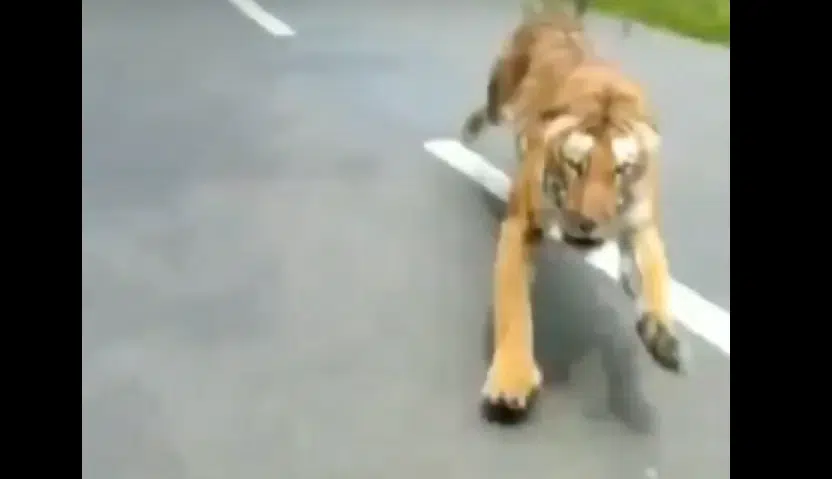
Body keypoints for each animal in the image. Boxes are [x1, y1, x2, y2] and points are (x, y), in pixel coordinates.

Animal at [461, 7, 683, 416]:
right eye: (575, 164)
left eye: (621, 169)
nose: (586, 224)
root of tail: (555, 13)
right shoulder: (523, 223)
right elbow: (514, 307)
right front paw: (511, 382)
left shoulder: (641, 224)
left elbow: (656, 278)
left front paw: (661, 337)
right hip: (501, 92)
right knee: (490, 109)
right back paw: (468, 131)